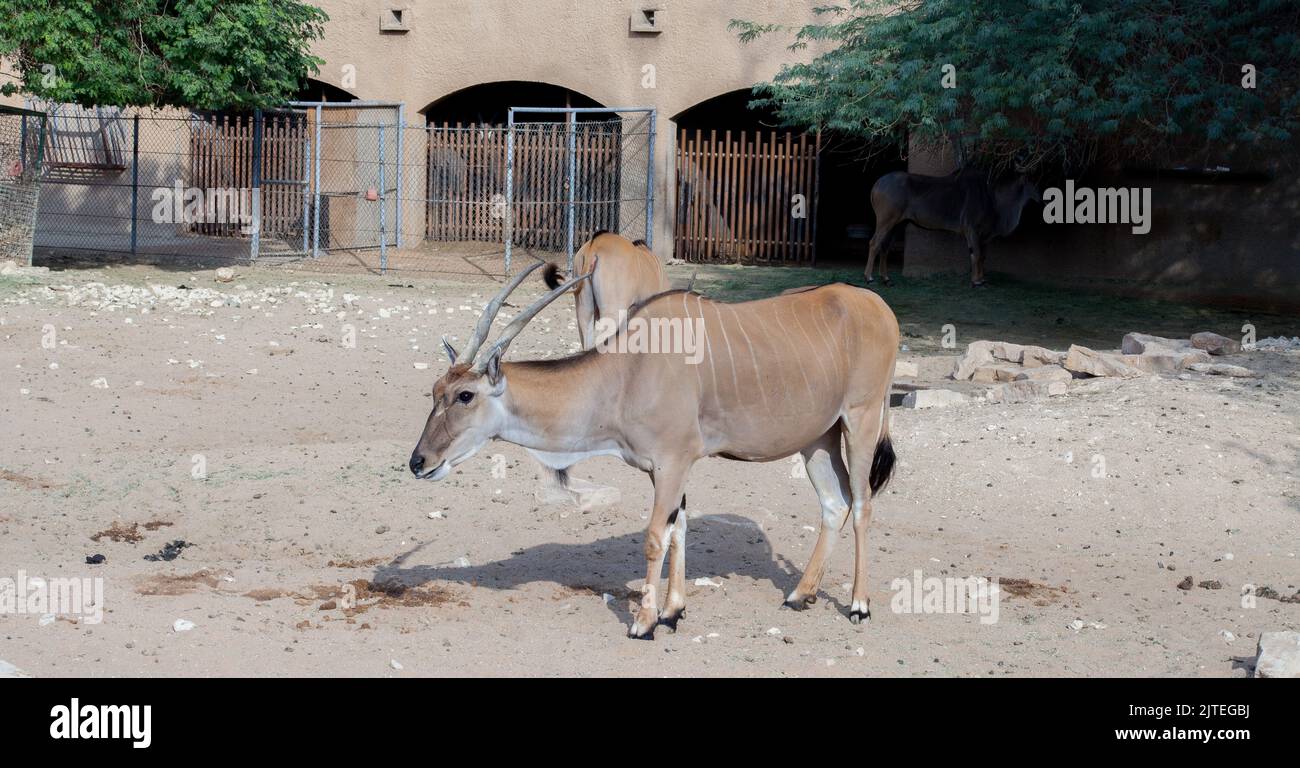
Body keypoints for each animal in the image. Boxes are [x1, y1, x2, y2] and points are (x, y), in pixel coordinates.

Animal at [409, 262, 900, 639]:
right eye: (434, 390)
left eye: (465, 395)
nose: (419, 462)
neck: (627, 369)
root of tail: (877, 308)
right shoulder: (662, 470)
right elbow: (677, 529)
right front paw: (672, 612)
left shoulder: (672, 463)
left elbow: (652, 538)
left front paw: (644, 622)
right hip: (818, 440)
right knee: (834, 503)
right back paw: (800, 594)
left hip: (860, 422)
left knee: (862, 504)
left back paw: (859, 605)